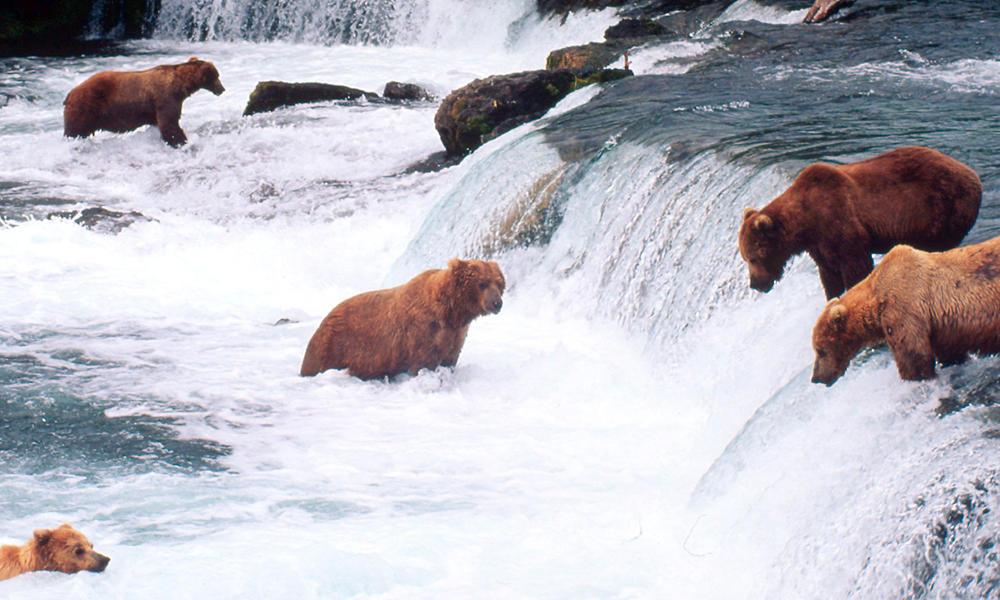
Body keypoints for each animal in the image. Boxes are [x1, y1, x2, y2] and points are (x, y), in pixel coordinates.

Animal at [64, 56, 225, 147]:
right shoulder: (165, 98)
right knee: (75, 131)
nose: (222, 89)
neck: (181, 85)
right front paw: (181, 141)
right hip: (86, 107)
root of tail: (70, 93)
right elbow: (169, 124)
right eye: (217, 76)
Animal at [300, 258, 506, 380]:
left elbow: (450, 358)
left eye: (499, 282)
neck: (453, 311)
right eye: (482, 283)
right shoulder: (422, 331)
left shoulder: (454, 335)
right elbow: (424, 361)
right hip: (332, 347)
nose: (497, 303)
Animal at [739, 146, 981, 299]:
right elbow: (829, 275)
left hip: (941, 209)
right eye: (745, 258)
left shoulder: (840, 222)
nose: (755, 284)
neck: (806, 222)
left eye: (753, 257)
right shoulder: (819, 246)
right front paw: (832, 297)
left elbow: (856, 266)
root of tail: (972, 173)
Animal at [811, 236, 1000, 386]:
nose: (815, 378)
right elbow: (950, 354)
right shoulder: (942, 330)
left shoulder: (904, 308)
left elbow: (913, 356)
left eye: (821, 350)